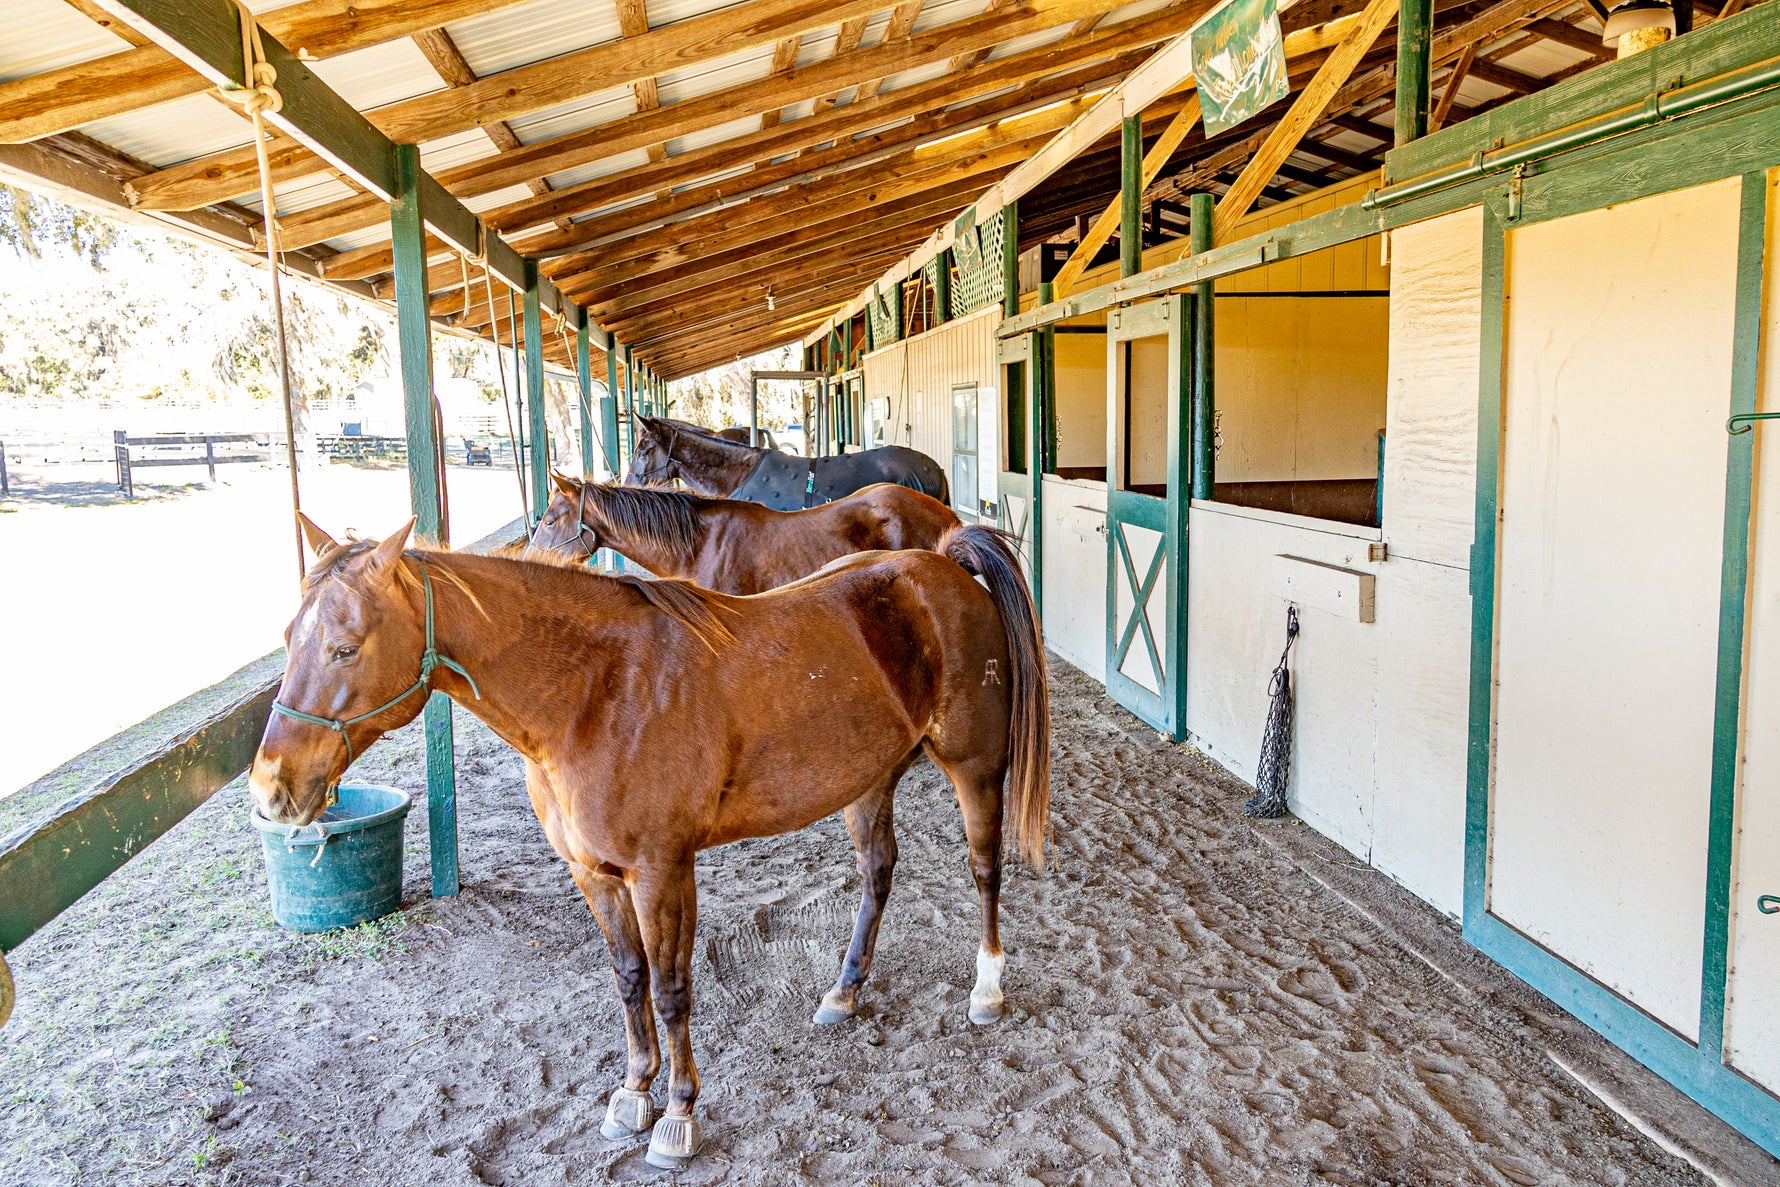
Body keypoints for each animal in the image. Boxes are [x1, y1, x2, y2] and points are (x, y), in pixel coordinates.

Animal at [252, 513, 1050, 1170]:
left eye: (345, 647)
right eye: (287, 639)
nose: (270, 786)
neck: (594, 692)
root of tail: (942, 564)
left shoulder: (661, 871)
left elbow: (671, 991)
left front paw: (678, 1116)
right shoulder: (596, 874)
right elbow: (630, 978)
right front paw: (634, 1092)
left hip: (976, 770)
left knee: (984, 870)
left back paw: (987, 989)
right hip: (869, 779)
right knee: (877, 873)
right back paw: (844, 990)